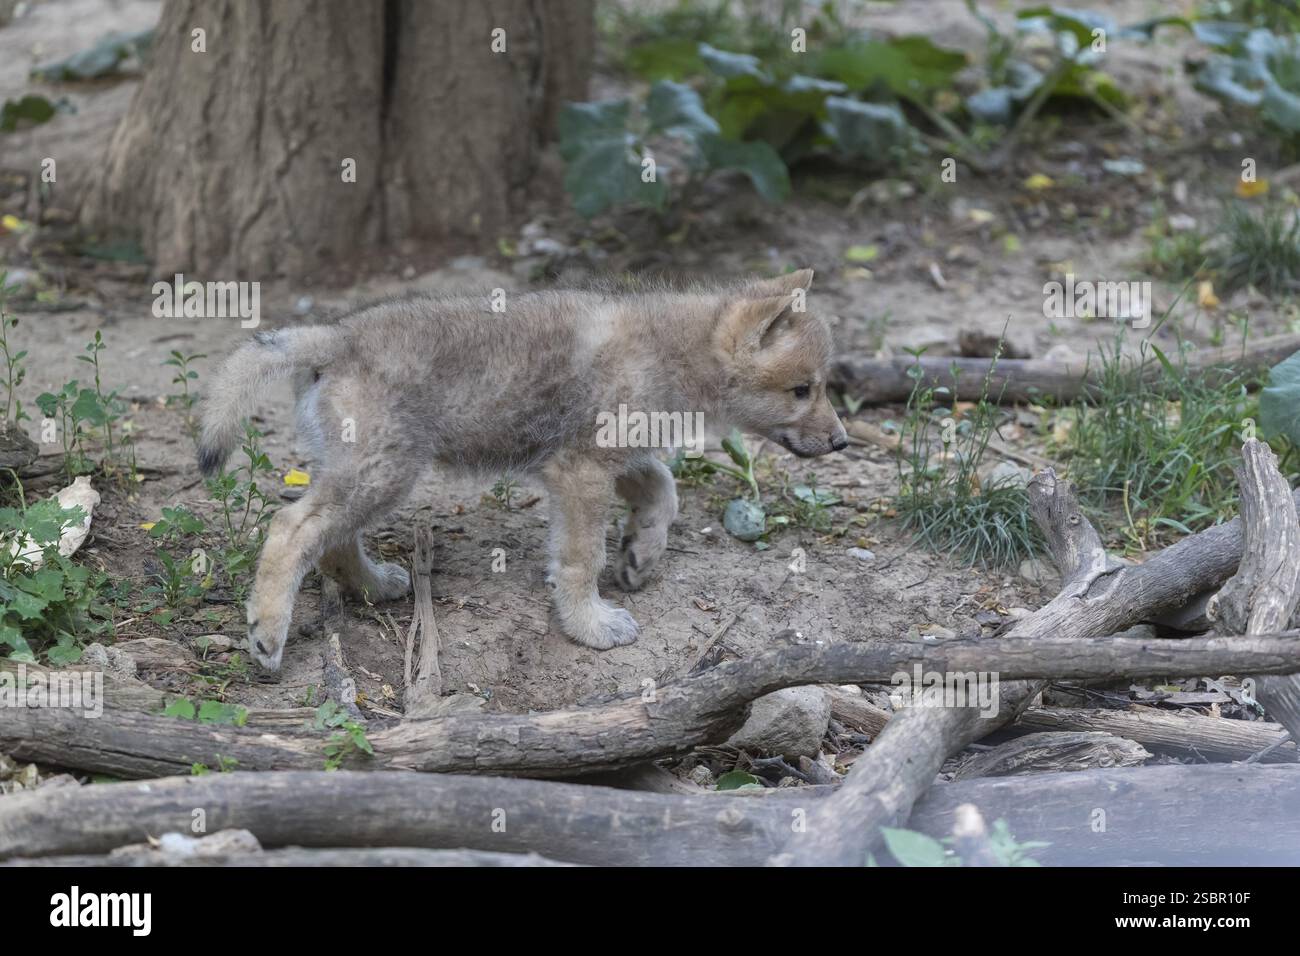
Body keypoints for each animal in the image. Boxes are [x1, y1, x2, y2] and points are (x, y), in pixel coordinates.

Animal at [197, 269, 847, 671]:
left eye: (818, 387)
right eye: (802, 390)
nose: (842, 441)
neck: (672, 350)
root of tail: (333, 338)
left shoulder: (606, 458)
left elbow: (663, 491)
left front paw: (641, 554)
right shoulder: (580, 470)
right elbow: (582, 559)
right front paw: (590, 626)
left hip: (364, 472)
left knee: (331, 542)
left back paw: (376, 586)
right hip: (383, 473)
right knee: (292, 529)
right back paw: (267, 633)